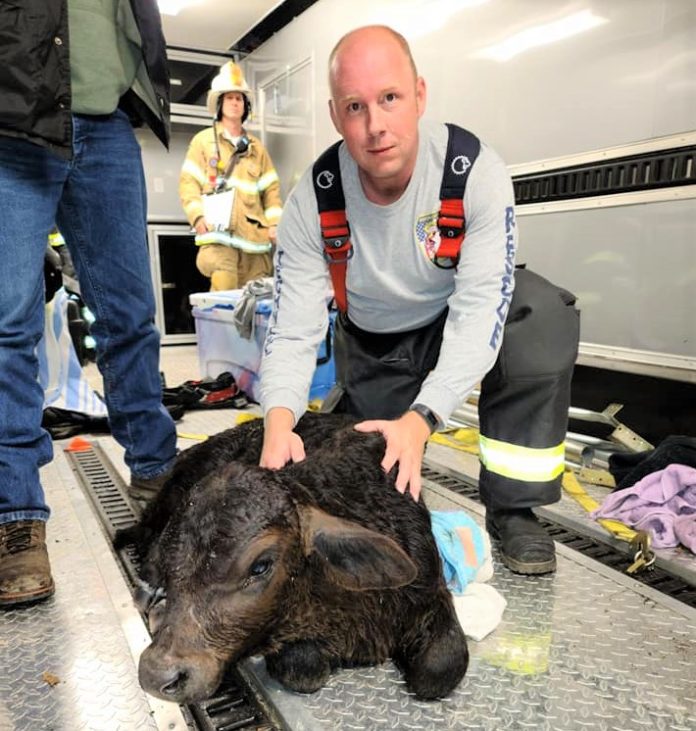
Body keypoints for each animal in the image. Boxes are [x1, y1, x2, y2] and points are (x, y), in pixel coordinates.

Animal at [117, 412, 468, 704]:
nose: (156, 674)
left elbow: (440, 669)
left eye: (261, 566)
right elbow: (302, 667)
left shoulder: (432, 592)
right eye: (172, 562)